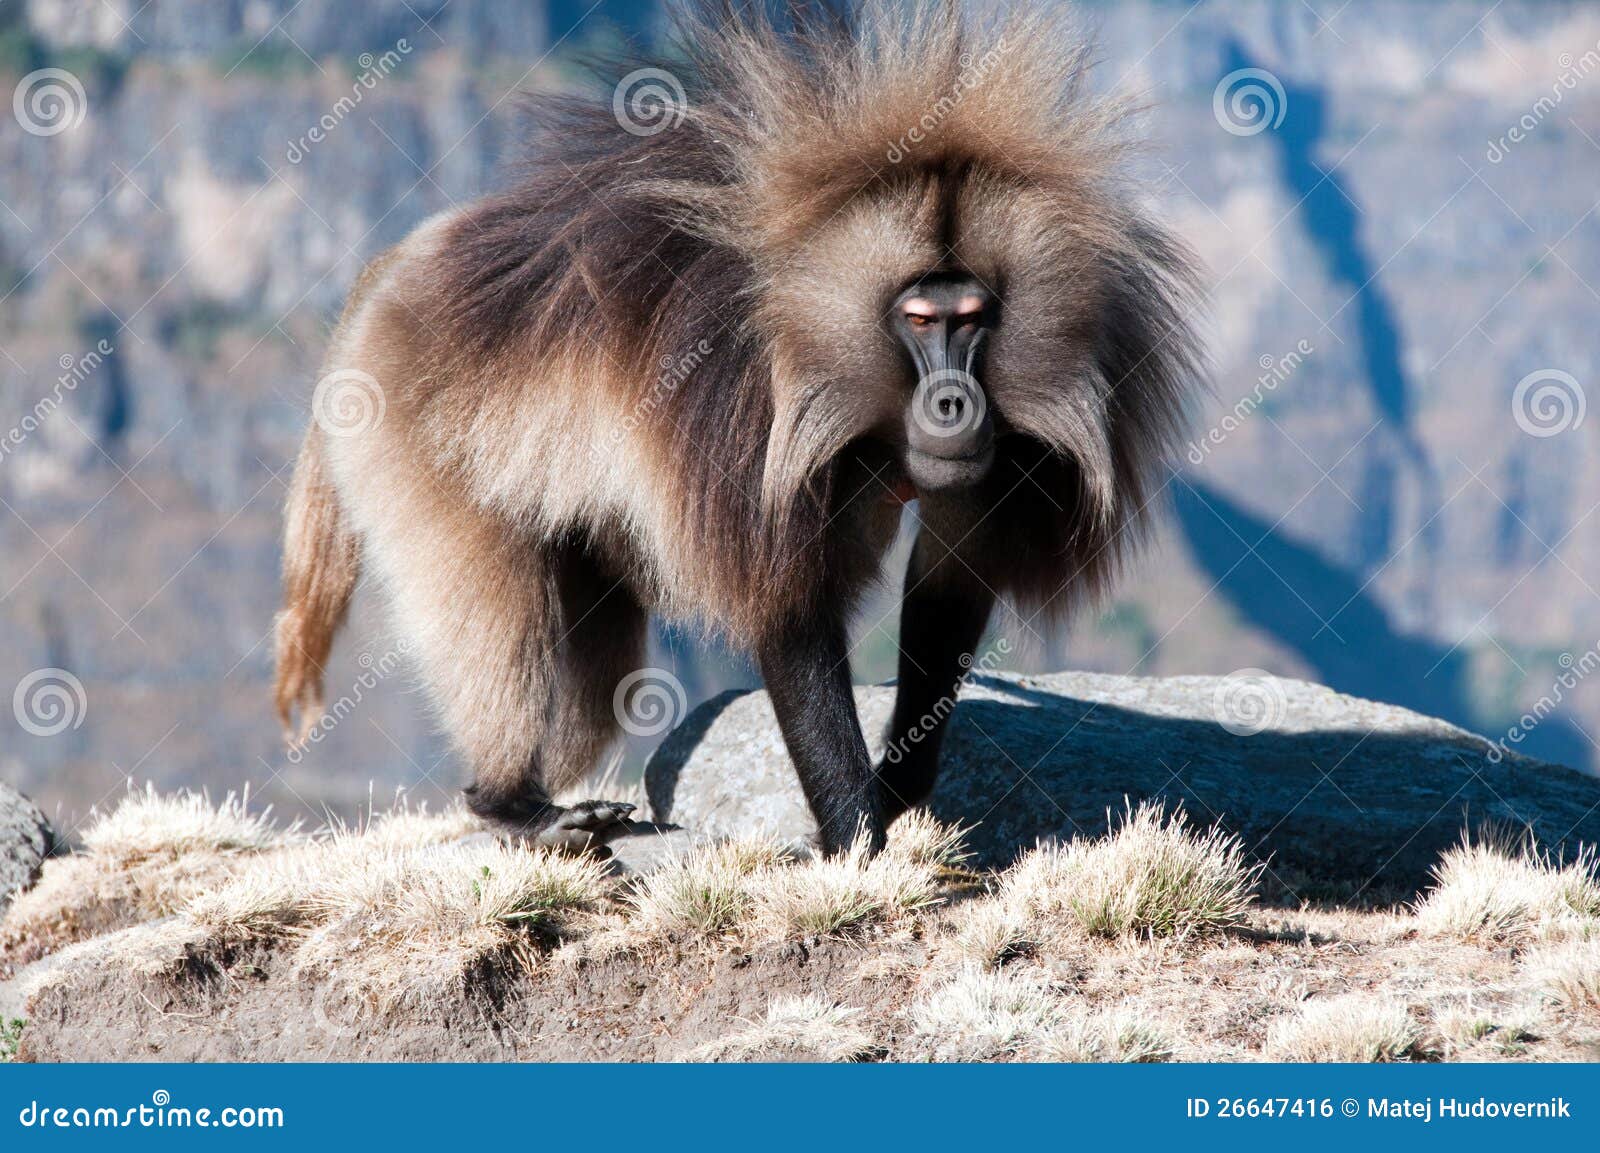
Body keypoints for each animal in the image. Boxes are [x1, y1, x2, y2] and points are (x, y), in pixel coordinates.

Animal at [273, 0, 1203, 857]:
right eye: (919, 320)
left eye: (972, 319)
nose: (954, 405)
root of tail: (390, 275)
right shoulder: (754, 425)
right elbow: (788, 614)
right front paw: (858, 842)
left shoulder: (991, 458)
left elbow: (948, 586)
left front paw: (900, 793)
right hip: (408, 438)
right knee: (497, 615)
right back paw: (511, 805)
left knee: (596, 659)